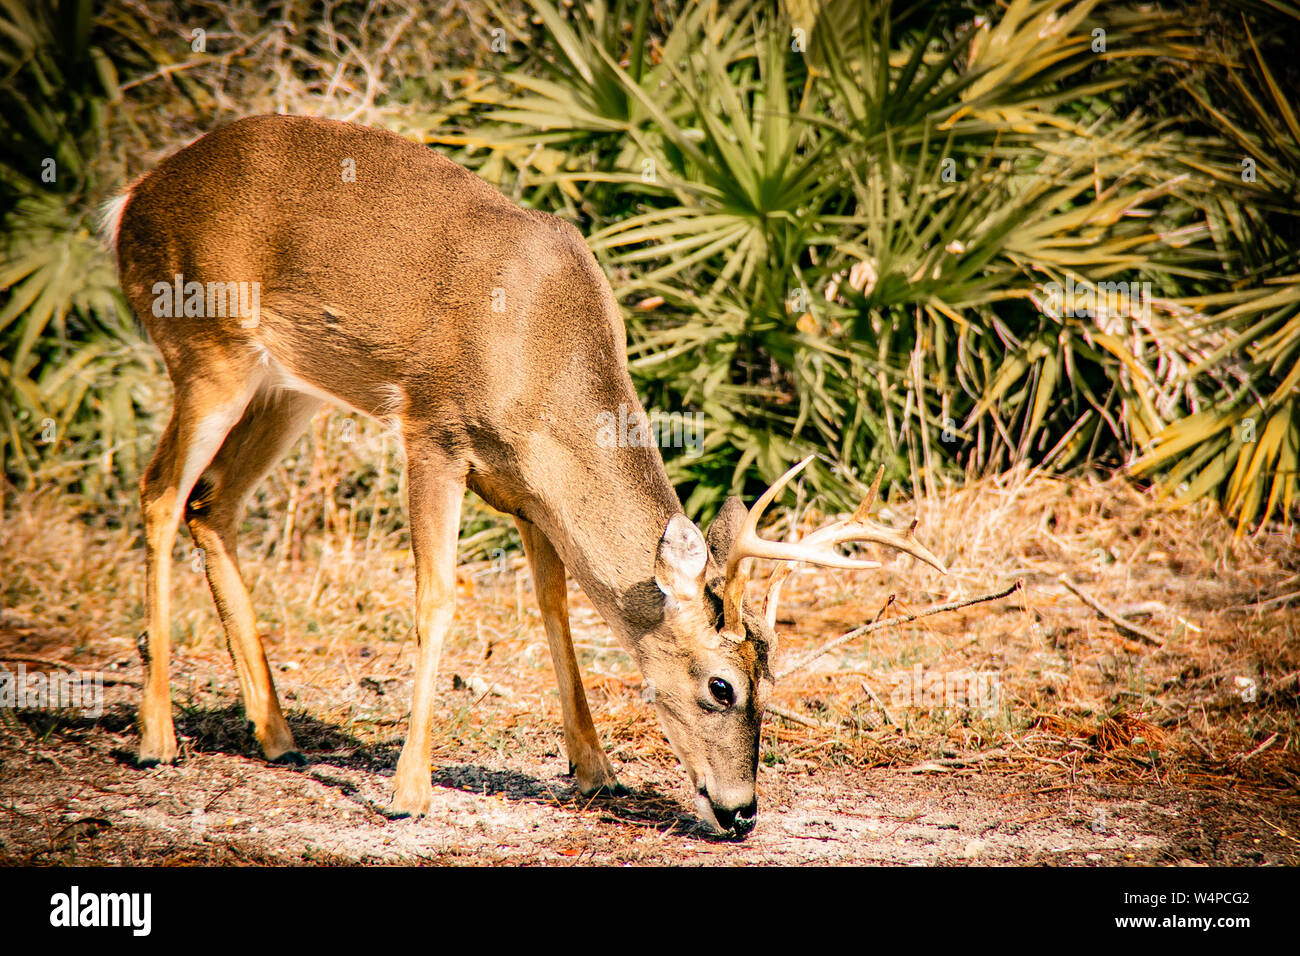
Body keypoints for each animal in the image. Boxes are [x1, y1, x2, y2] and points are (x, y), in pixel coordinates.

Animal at [105, 114, 945, 836]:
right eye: (721, 686)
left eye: (771, 685)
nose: (742, 812)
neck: (543, 360)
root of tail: (131, 198)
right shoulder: (434, 430)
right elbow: (437, 598)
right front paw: (409, 791)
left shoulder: (528, 491)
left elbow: (553, 607)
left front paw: (594, 768)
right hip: (206, 346)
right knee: (158, 493)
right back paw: (157, 737)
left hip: (291, 386)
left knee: (210, 504)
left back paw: (276, 732)